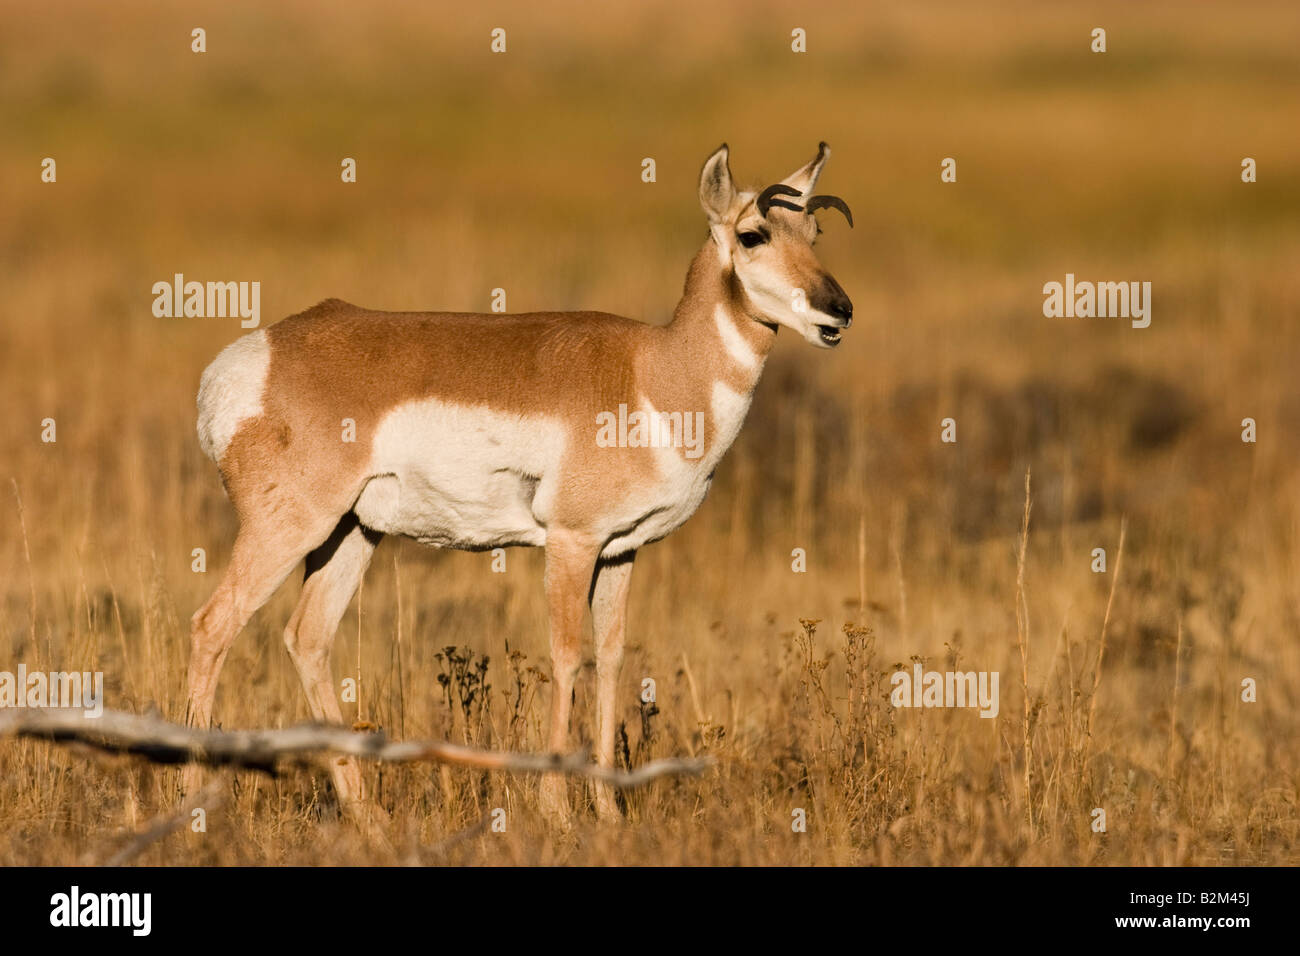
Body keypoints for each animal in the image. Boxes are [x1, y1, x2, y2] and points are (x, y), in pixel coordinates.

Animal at [183, 142, 854, 825]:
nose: (839, 310)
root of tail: (242, 363)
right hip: (289, 527)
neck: (652, 373)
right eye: (753, 234)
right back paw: (192, 803)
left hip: (351, 532)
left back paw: (368, 815)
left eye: (814, 233)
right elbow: (566, 655)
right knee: (213, 626)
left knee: (307, 637)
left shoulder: (622, 549)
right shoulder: (571, 541)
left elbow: (612, 658)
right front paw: (557, 809)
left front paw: (609, 812)